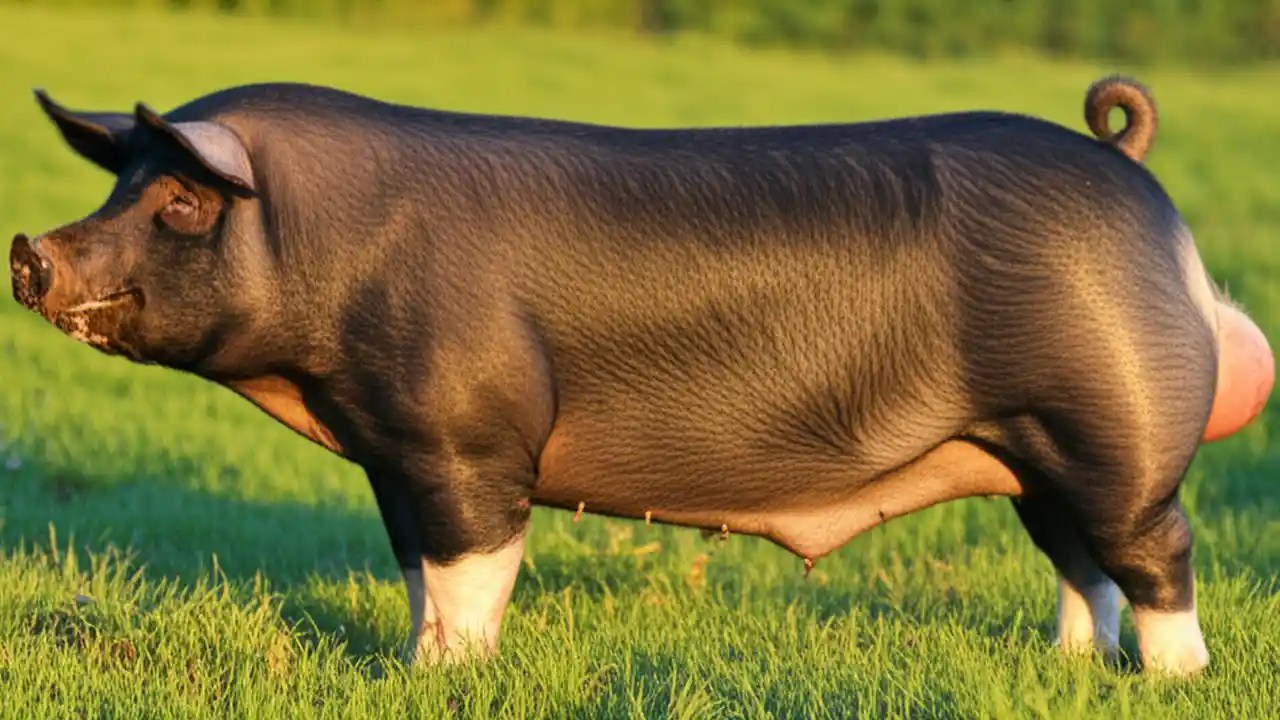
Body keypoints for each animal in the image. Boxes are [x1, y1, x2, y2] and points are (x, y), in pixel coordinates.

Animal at [9, 75, 1273, 676]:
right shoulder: (394, 454)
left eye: (181, 202)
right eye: (117, 182)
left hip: (1111, 429)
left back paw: (1169, 681)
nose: (31, 250)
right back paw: (1070, 666)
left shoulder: (471, 440)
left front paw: (449, 676)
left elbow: (471, 571)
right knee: (1080, 564)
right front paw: (413, 665)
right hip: (1032, 455)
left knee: (1156, 554)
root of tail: (1125, 161)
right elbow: (416, 570)